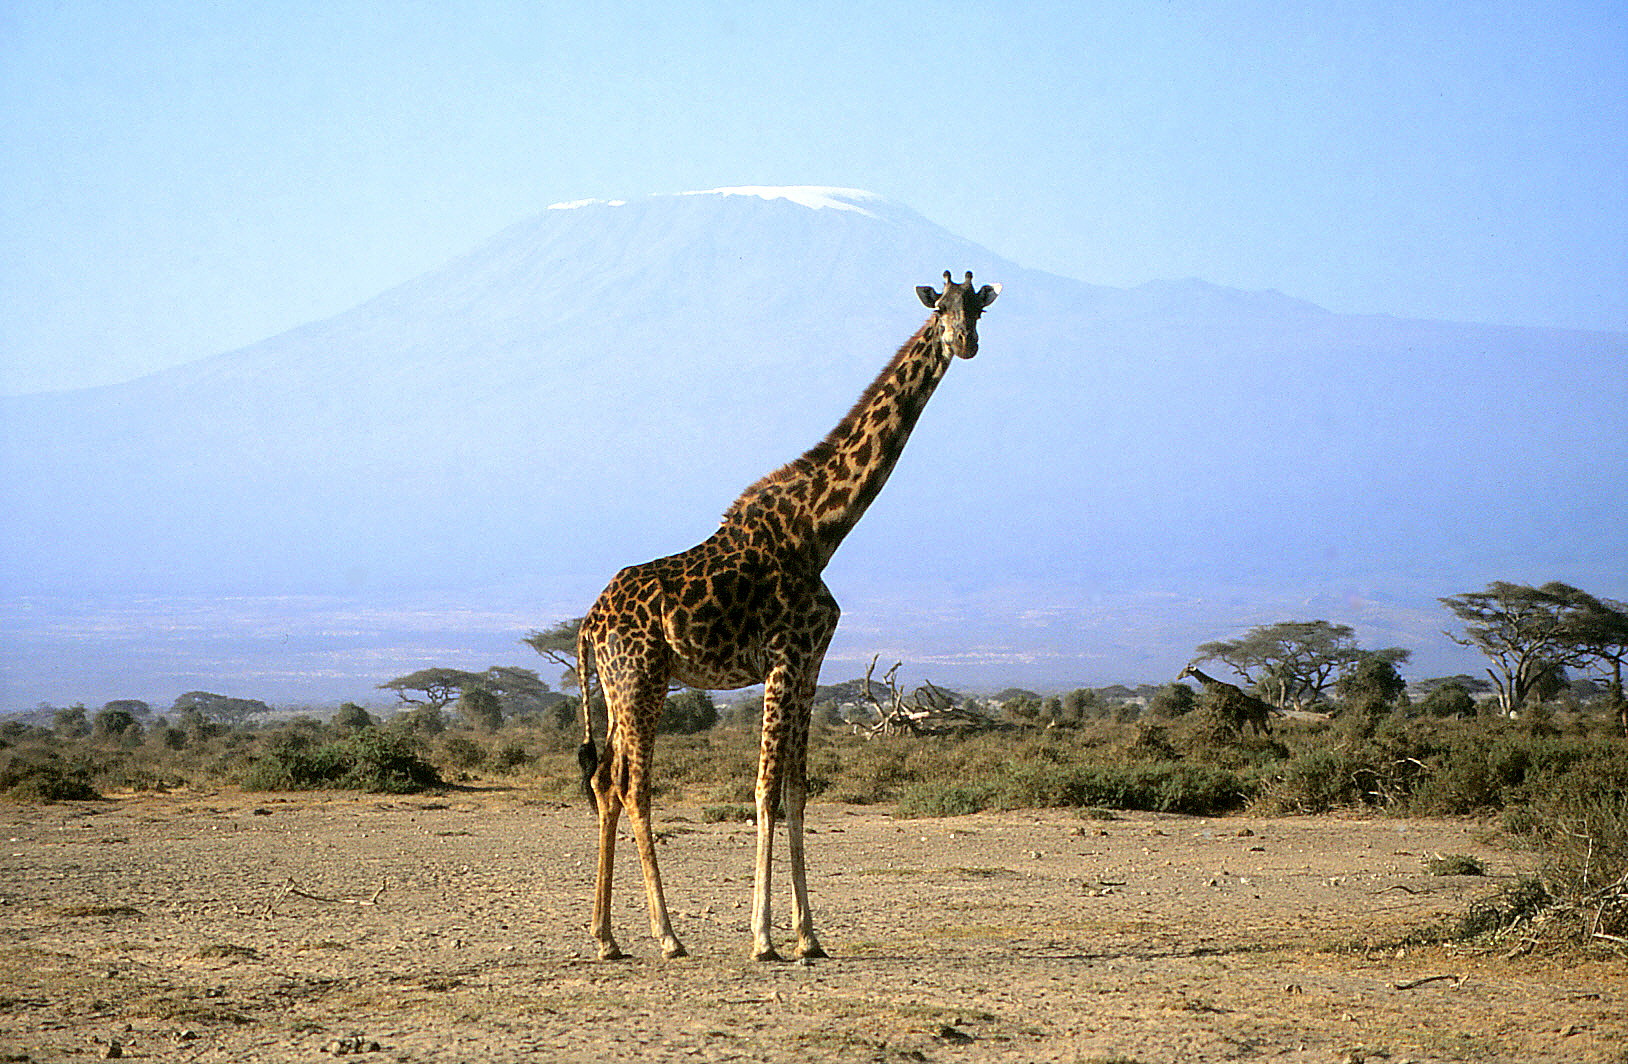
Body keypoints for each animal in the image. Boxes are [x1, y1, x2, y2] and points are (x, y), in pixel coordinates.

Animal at [575, 271, 999, 962]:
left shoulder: (810, 665)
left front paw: (809, 936)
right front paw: (763, 936)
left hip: (617, 688)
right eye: (939, 309)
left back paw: (606, 935)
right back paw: (667, 936)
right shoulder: (782, 660)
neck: (819, 532)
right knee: (635, 787)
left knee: (606, 782)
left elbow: (800, 790)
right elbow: (765, 791)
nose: (965, 343)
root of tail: (587, 623)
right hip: (643, 680)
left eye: (978, 309)